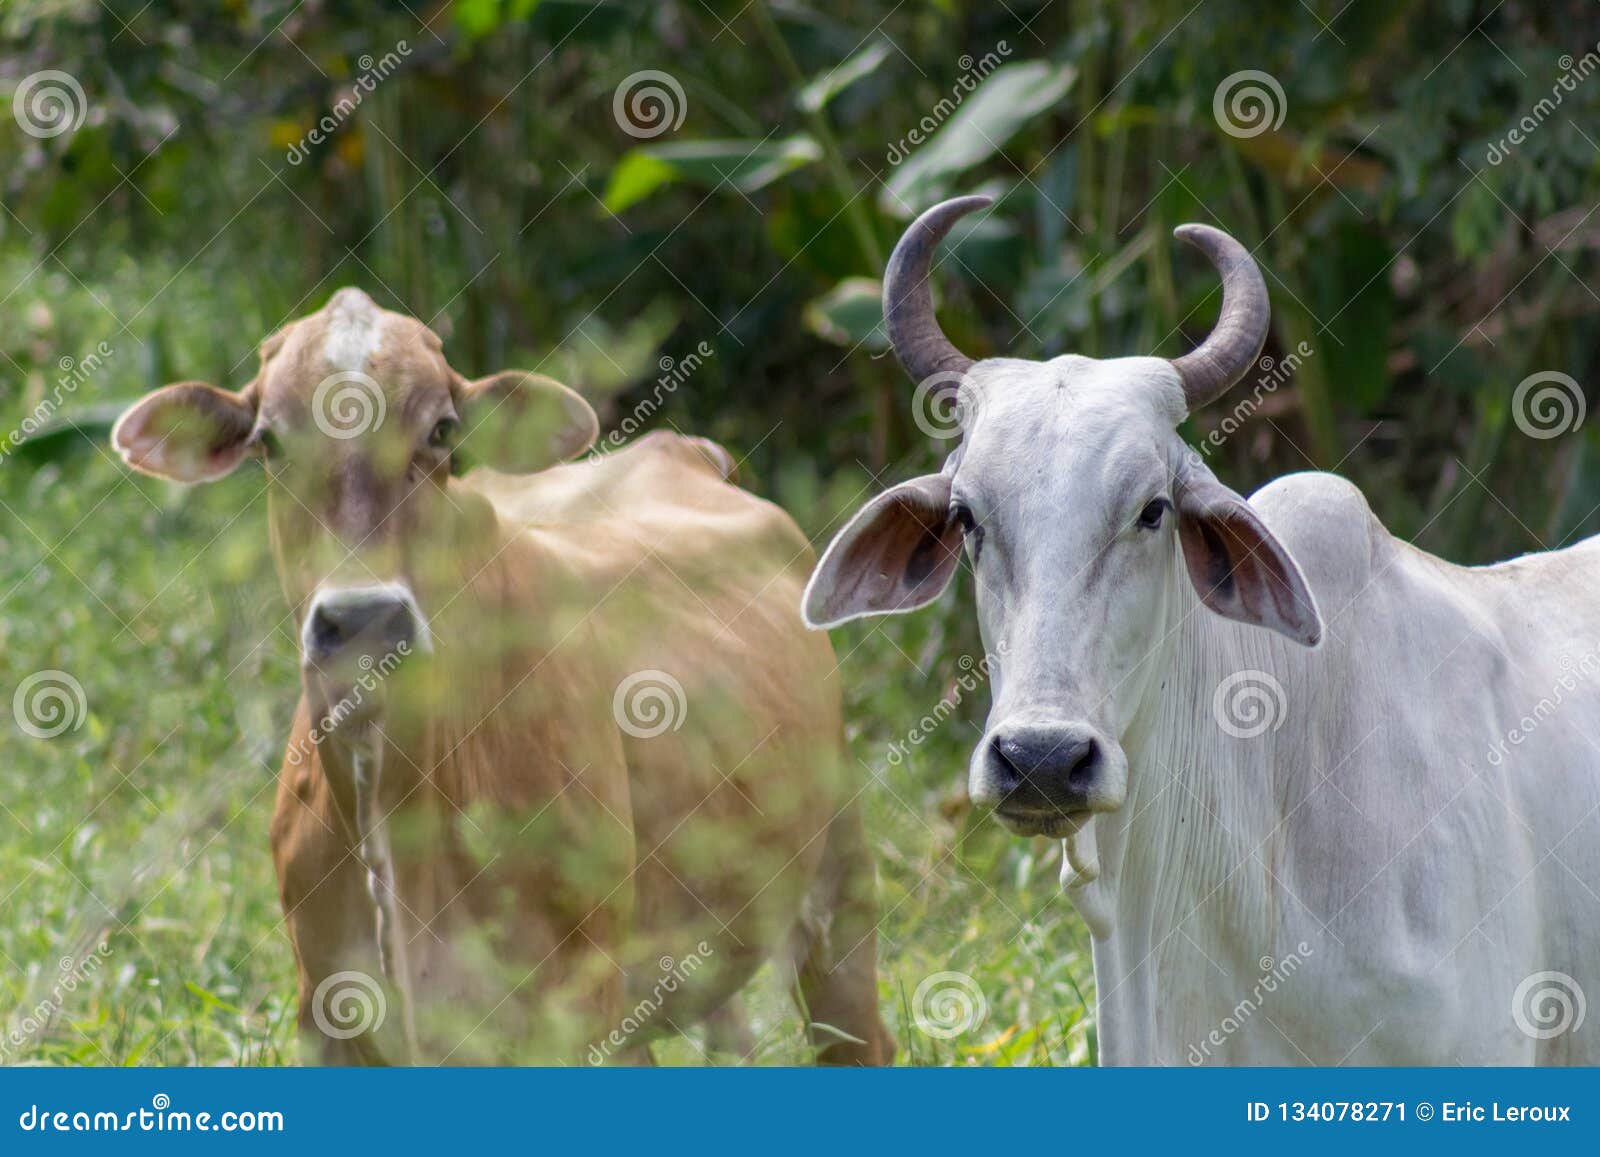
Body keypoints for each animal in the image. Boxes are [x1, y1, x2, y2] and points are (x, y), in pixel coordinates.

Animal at [112, 288, 892, 1065]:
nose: (364, 619)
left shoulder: (574, 1008)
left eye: (441, 429)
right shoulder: (325, 1009)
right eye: (269, 442)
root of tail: (682, 450)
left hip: (839, 883)